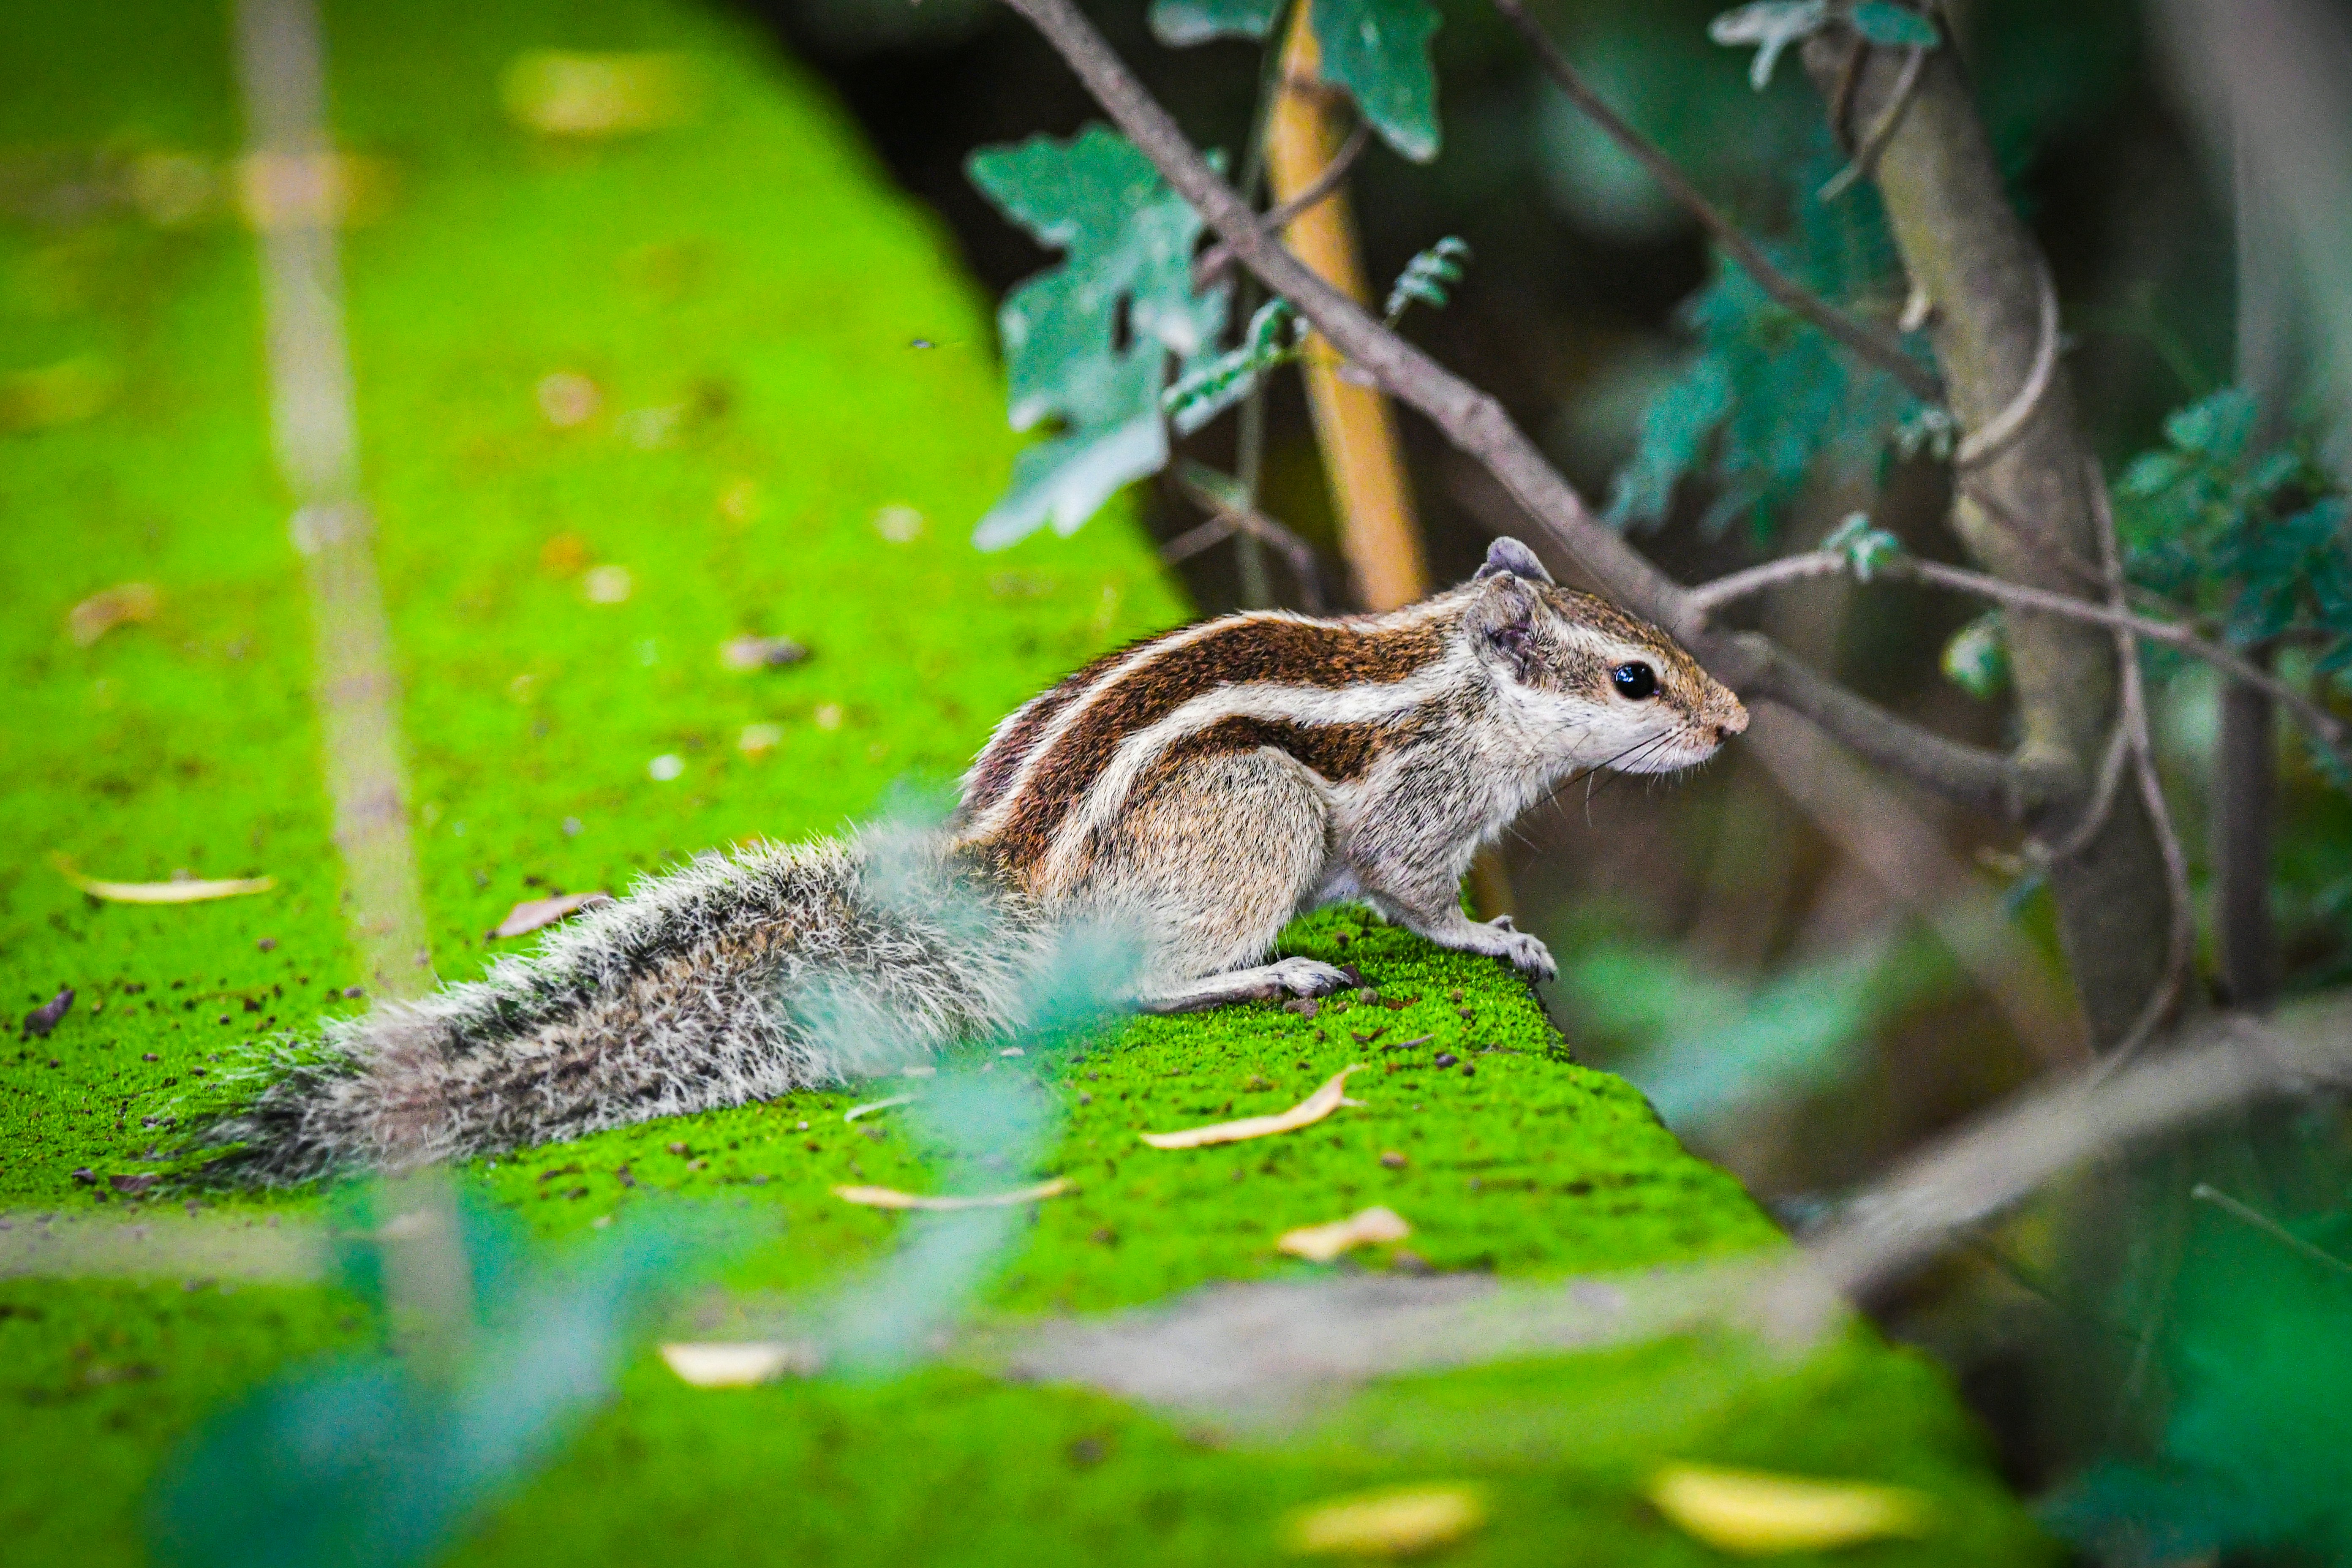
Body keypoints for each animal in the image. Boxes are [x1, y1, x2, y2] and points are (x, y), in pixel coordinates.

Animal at [191, 537, 1746, 1184]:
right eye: (1631, 678)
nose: (1734, 721)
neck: (1459, 685)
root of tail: (1002, 883)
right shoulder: (1411, 817)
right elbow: (1422, 905)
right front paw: (1497, 939)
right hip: (1258, 821)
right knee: (1135, 984)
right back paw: (1267, 974)